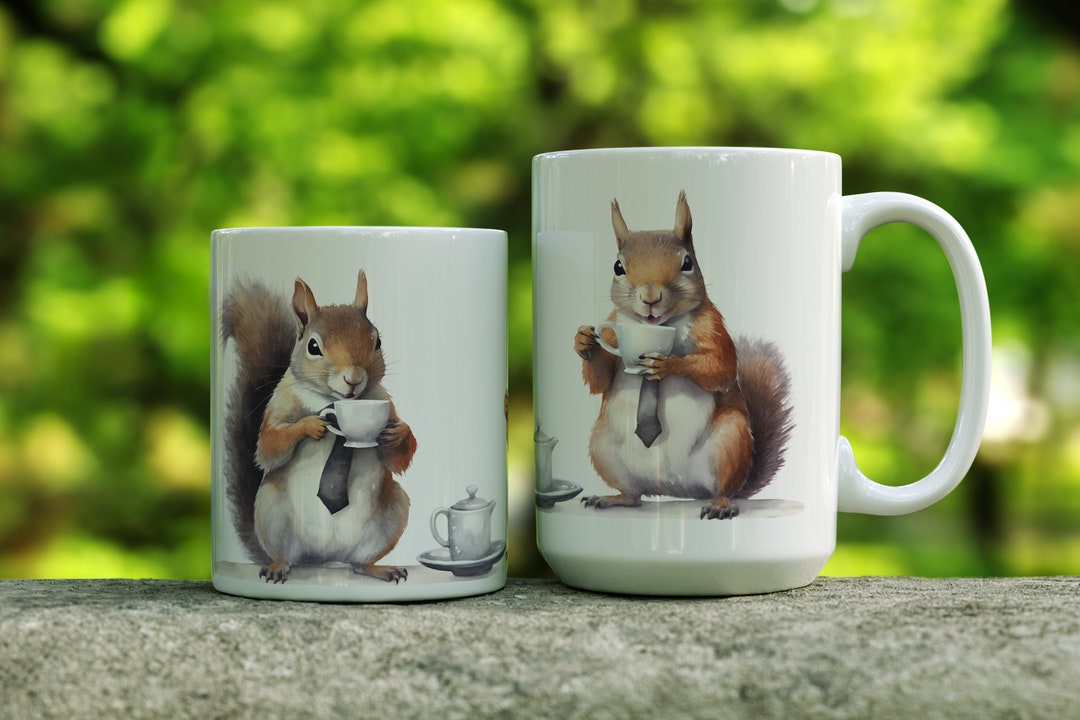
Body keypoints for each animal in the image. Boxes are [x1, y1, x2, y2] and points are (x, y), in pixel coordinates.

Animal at [221, 268, 416, 583]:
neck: (334, 401)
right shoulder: (279, 406)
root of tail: (326, 559)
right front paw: (310, 425)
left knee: (359, 563)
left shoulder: (386, 403)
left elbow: (398, 460)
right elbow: (268, 447)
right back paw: (278, 566)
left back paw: (379, 568)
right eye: (313, 346)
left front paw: (399, 434)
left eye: (377, 342)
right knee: (286, 555)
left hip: (393, 510)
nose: (353, 379)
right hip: (269, 510)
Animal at [574, 191, 794, 519]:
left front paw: (667, 365)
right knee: (633, 495)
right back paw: (613, 498)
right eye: (617, 267)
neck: (657, 326)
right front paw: (584, 341)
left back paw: (720, 505)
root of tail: (676, 489)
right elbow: (601, 380)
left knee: (725, 488)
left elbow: (720, 368)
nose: (650, 298)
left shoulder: (712, 328)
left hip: (731, 439)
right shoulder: (613, 330)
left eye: (687, 263)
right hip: (602, 446)